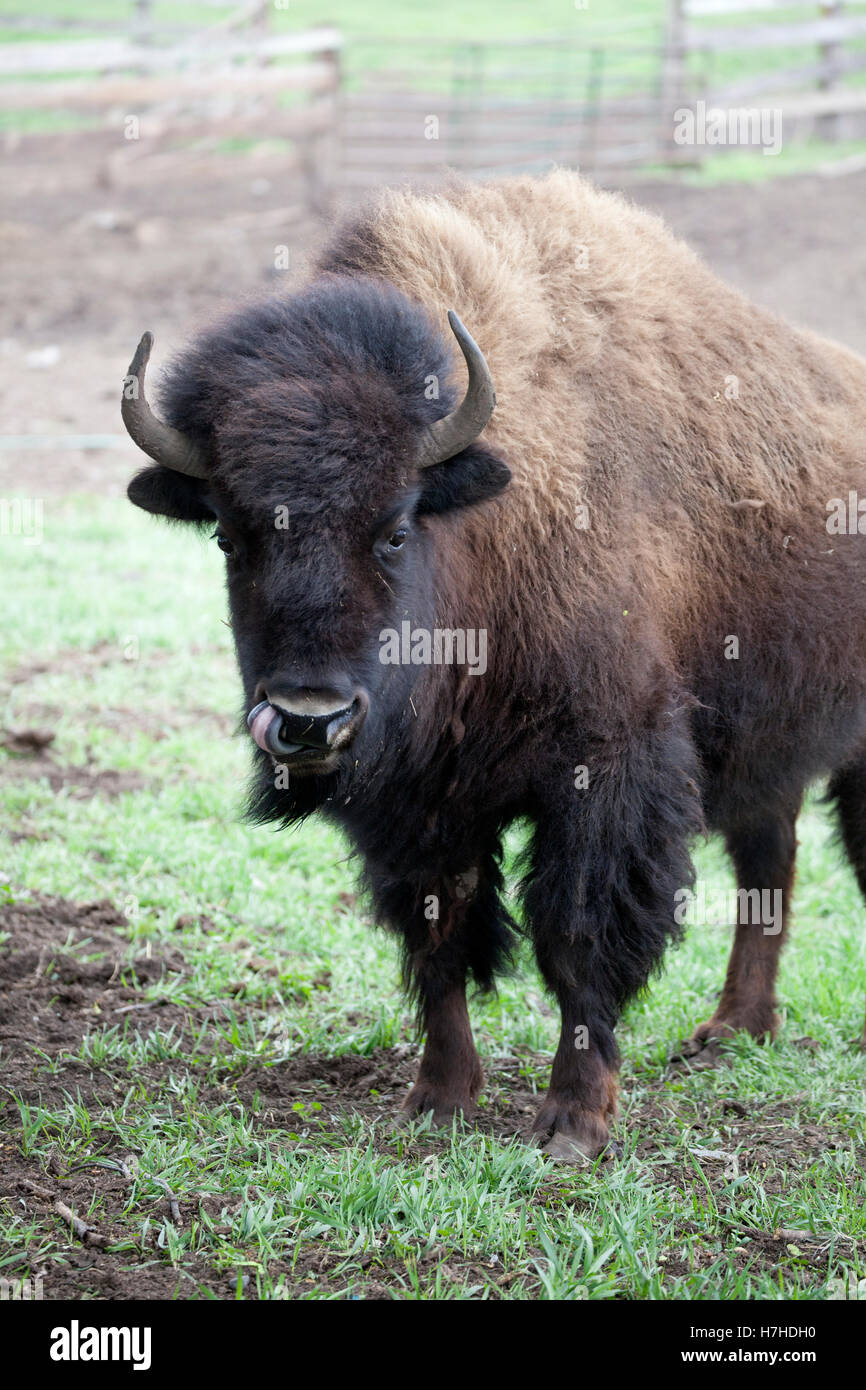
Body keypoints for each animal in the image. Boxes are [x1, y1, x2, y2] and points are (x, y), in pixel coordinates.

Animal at [122, 171, 866, 1160]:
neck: (487, 526)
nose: (310, 721)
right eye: (229, 538)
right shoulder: (420, 807)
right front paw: (438, 1100)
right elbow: (442, 936)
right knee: (769, 864)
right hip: (764, 755)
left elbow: (577, 940)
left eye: (395, 529)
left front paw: (572, 1125)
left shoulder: (608, 773)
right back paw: (731, 1030)